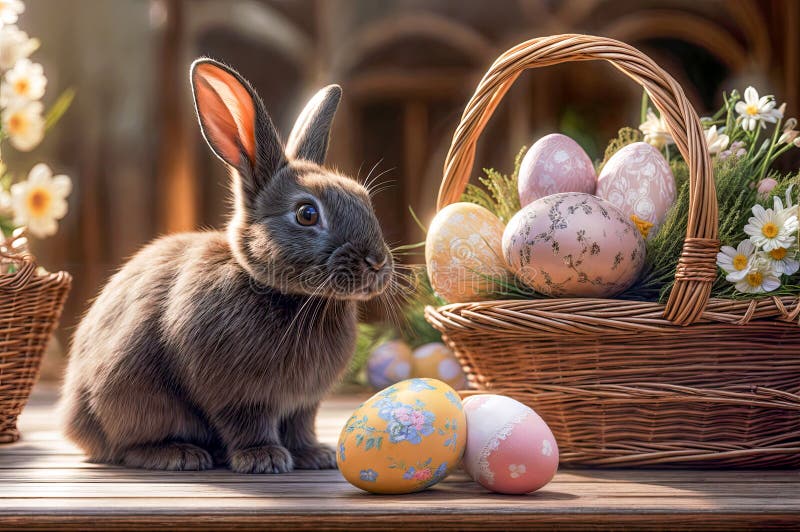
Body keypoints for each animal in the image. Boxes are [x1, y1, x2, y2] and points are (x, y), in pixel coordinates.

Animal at [59, 58, 393, 473]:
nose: (377, 262)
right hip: (136, 398)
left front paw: (314, 455)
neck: (287, 294)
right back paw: (180, 455)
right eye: (306, 213)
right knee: (128, 447)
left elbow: (301, 425)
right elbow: (247, 423)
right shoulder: (238, 395)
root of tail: (74, 424)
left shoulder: (303, 404)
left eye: (364, 198)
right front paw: (264, 458)